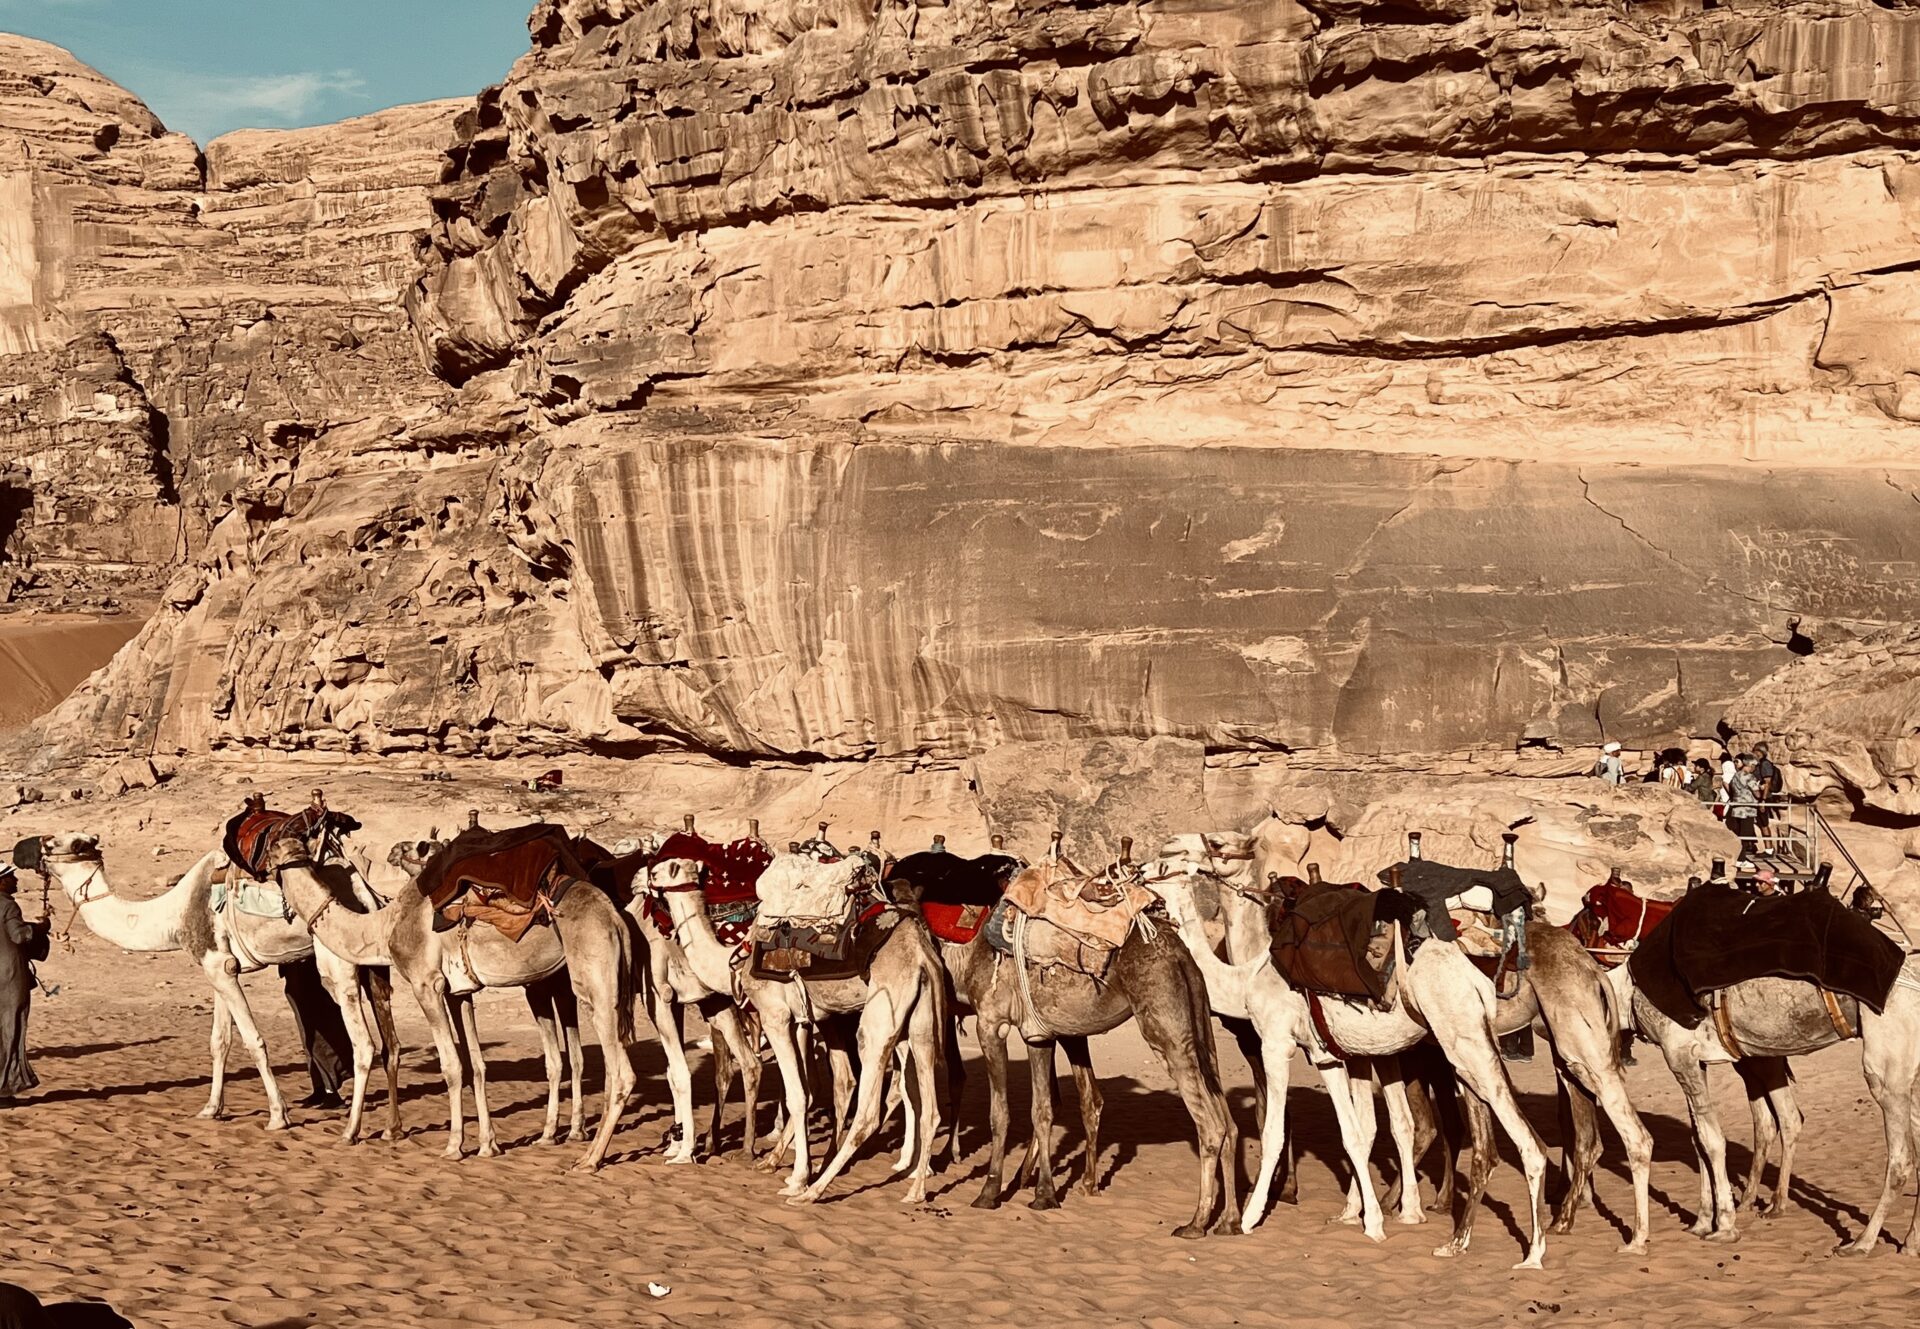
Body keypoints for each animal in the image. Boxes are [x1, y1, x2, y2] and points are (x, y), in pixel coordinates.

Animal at [264, 824, 639, 1171]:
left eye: (271, 850)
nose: (261, 868)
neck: (384, 927)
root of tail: (615, 918)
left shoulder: (425, 984)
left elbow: (452, 1066)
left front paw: (453, 1146)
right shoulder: (460, 993)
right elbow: (476, 1064)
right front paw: (489, 1145)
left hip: (595, 982)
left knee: (620, 1073)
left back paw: (589, 1158)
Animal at [641, 850, 948, 1203]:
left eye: (662, 869)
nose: (643, 877)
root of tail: (922, 953)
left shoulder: (774, 1016)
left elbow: (797, 1096)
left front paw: (798, 1178)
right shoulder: (800, 1019)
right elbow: (807, 1089)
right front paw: (787, 1168)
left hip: (881, 1015)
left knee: (870, 1110)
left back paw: (813, 1192)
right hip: (919, 1022)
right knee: (927, 1106)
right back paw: (915, 1189)